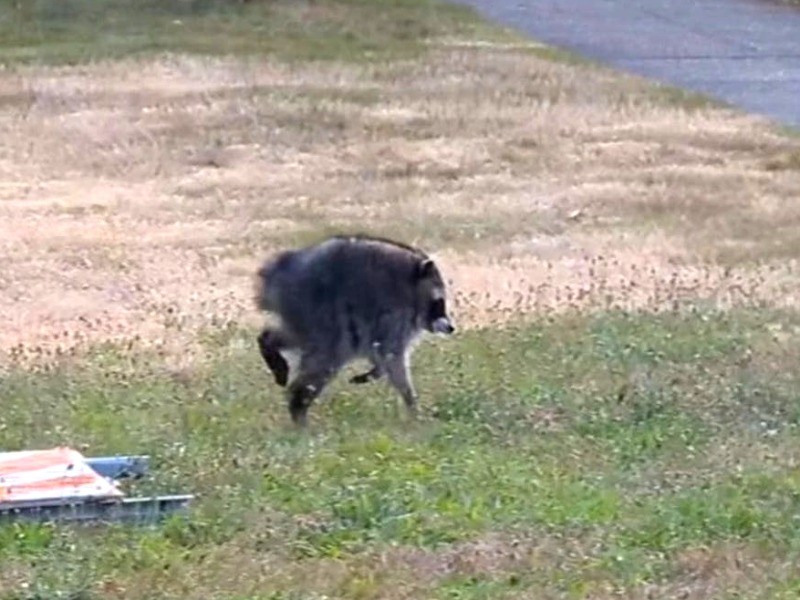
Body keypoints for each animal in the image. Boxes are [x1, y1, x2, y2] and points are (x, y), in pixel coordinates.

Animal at [255, 234, 455, 426]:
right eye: (439, 303)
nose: (451, 327)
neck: (412, 285)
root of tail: (279, 271)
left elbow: (380, 354)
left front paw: (376, 373)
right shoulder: (395, 315)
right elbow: (391, 356)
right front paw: (411, 402)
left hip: (302, 315)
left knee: (295, 338)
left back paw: (268, 343)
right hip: (316, 310)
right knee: (325, 358)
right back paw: (298, 406)